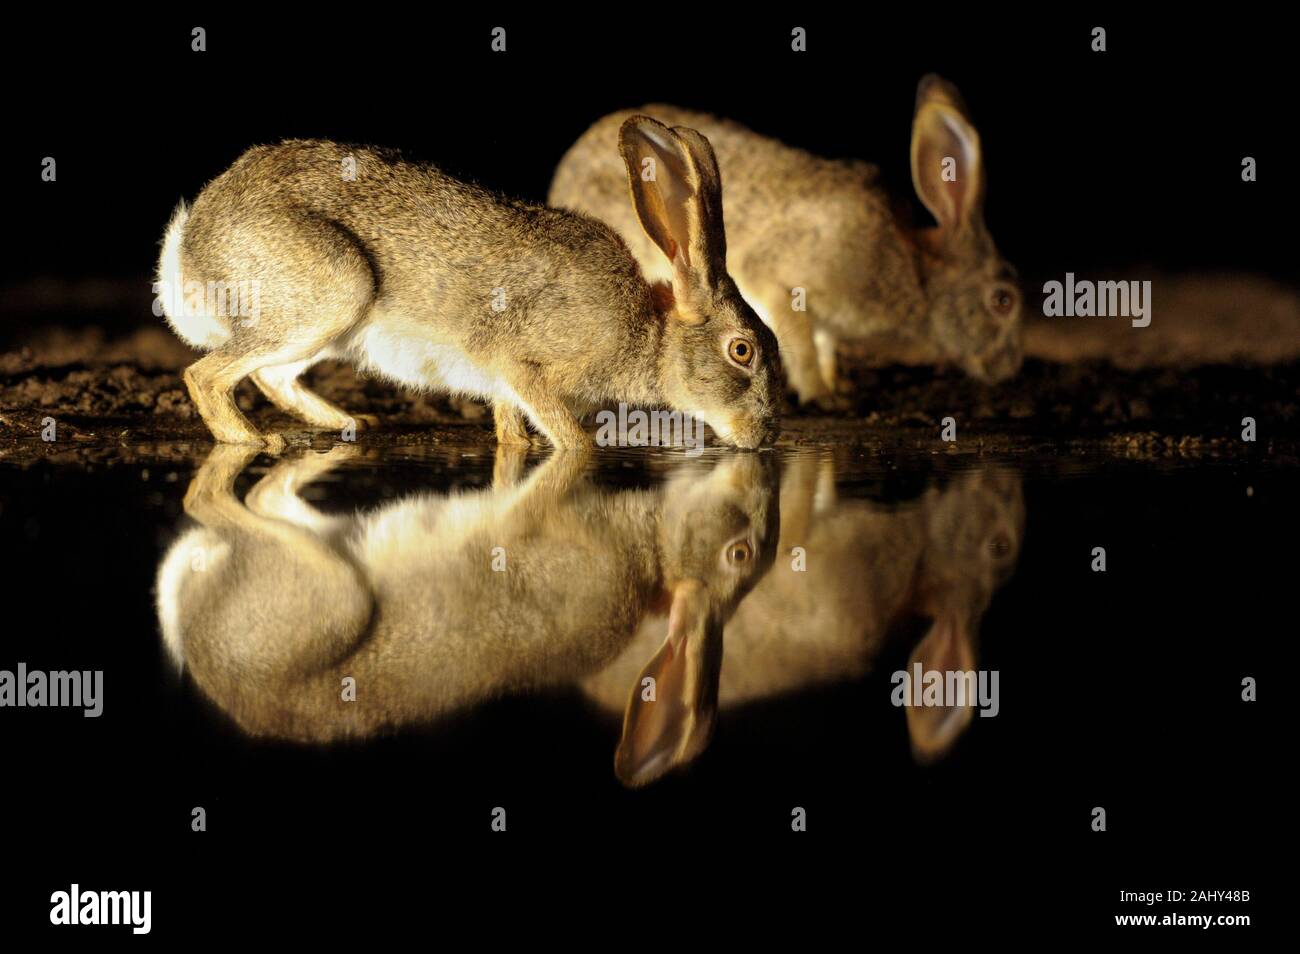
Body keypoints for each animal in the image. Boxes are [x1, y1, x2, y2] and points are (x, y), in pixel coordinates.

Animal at [154, 120, 781, 452]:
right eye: (742, 351)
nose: (765, 434)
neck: (648, 335)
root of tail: (191, 243)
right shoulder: (524, 366)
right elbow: (570, 439)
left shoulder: (507, 387)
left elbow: (512, 433)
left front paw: (520, 447)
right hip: (333, 291)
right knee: (205, 375)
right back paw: (255, 441)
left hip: (326, 327)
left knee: (271, 376)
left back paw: (352, 424)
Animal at [548, 75, 1024, 406]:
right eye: (1003, 301)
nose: (1009, 369)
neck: (916, 271)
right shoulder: (782, 285)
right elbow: (803, 345)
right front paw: (822, 397)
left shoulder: (829, 321)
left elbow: (826, 345)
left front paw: (839, 387)